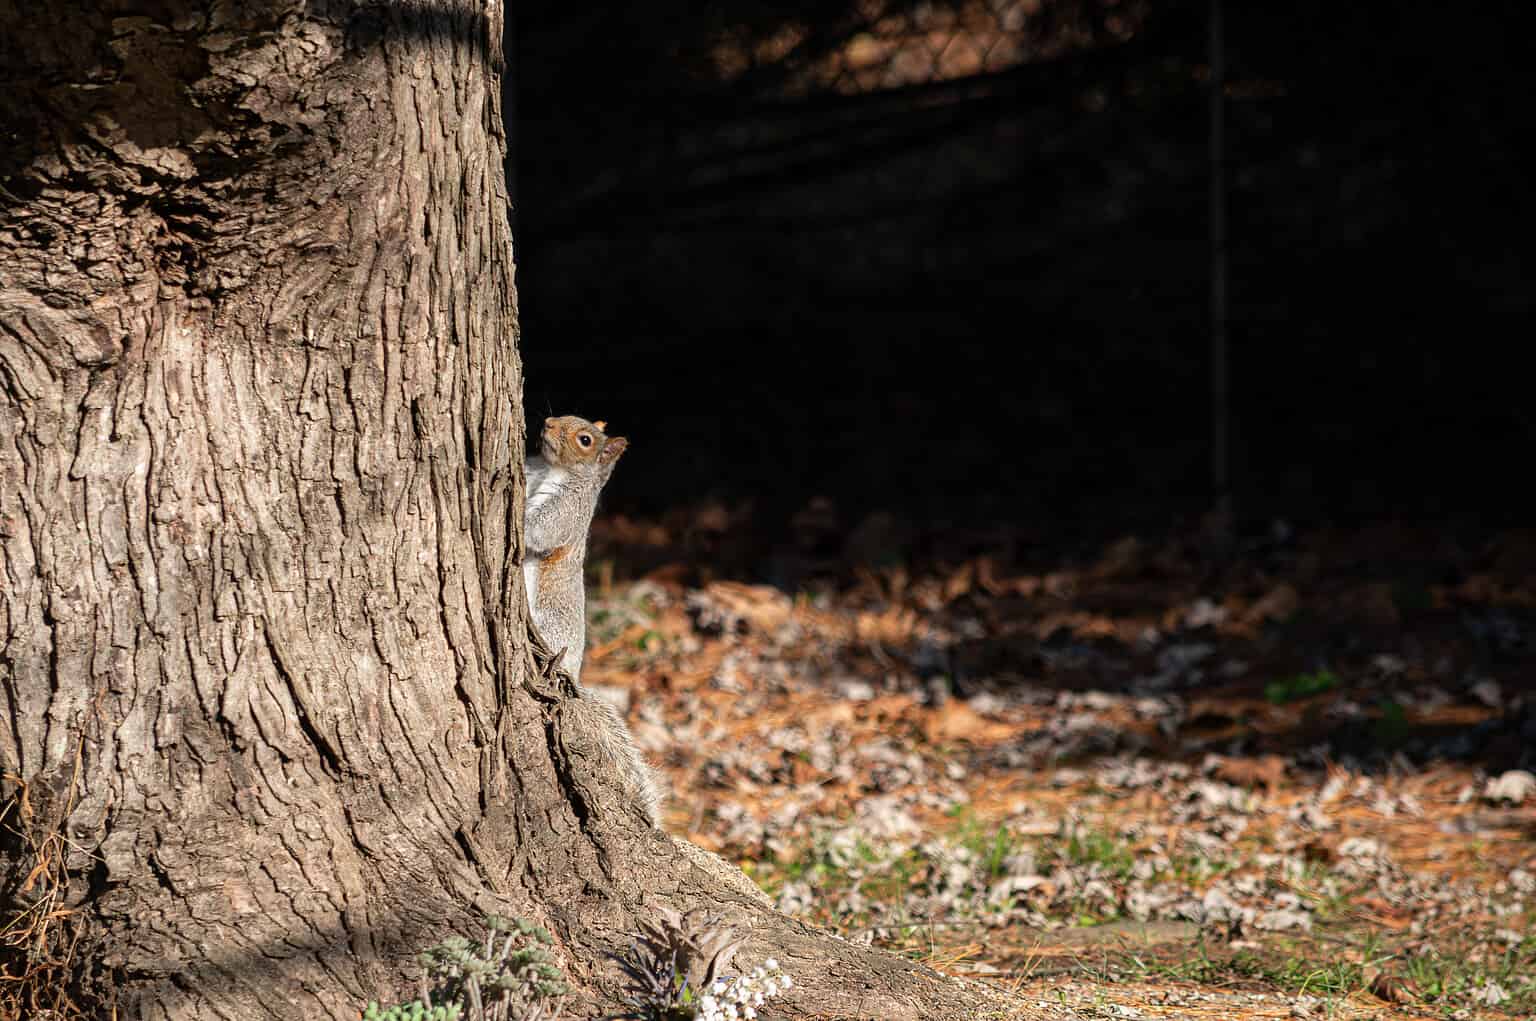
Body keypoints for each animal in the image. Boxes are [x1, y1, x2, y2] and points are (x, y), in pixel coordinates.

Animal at [523, 415, 664, 826]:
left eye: (585, 440)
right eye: (561, 415)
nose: (546, 423)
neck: (551, 468)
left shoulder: (568, 509)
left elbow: (538, 530)